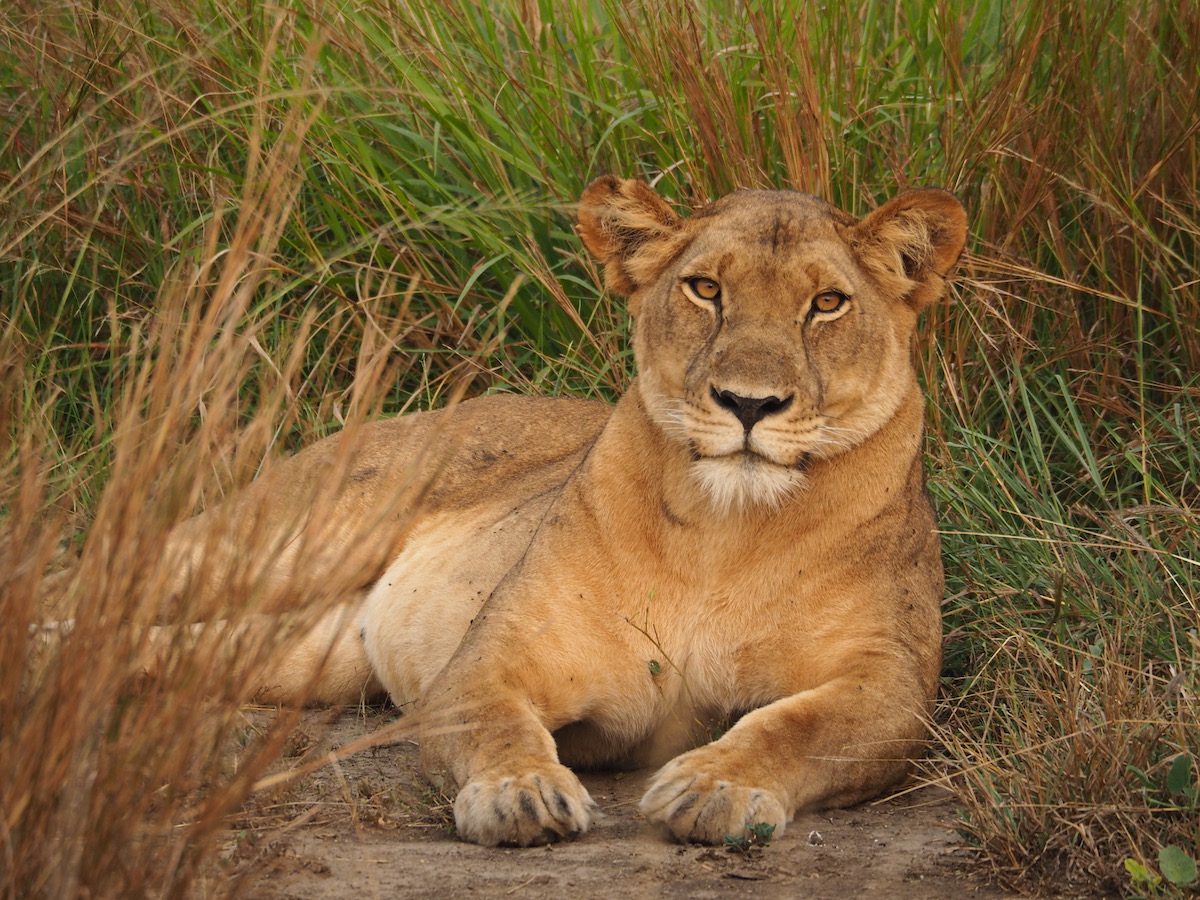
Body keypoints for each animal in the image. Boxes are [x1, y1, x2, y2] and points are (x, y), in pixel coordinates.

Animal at [49, 176, 967, 847]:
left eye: (828, 304)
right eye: (705, 289)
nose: (748, 403)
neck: (725, 531)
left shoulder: (892, 683)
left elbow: (802, 725)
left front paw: (713, 786)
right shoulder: (490, 657)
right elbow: (497, 723)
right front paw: (519, 794)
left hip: (297, 655)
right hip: (277, 545)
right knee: (96, 575)